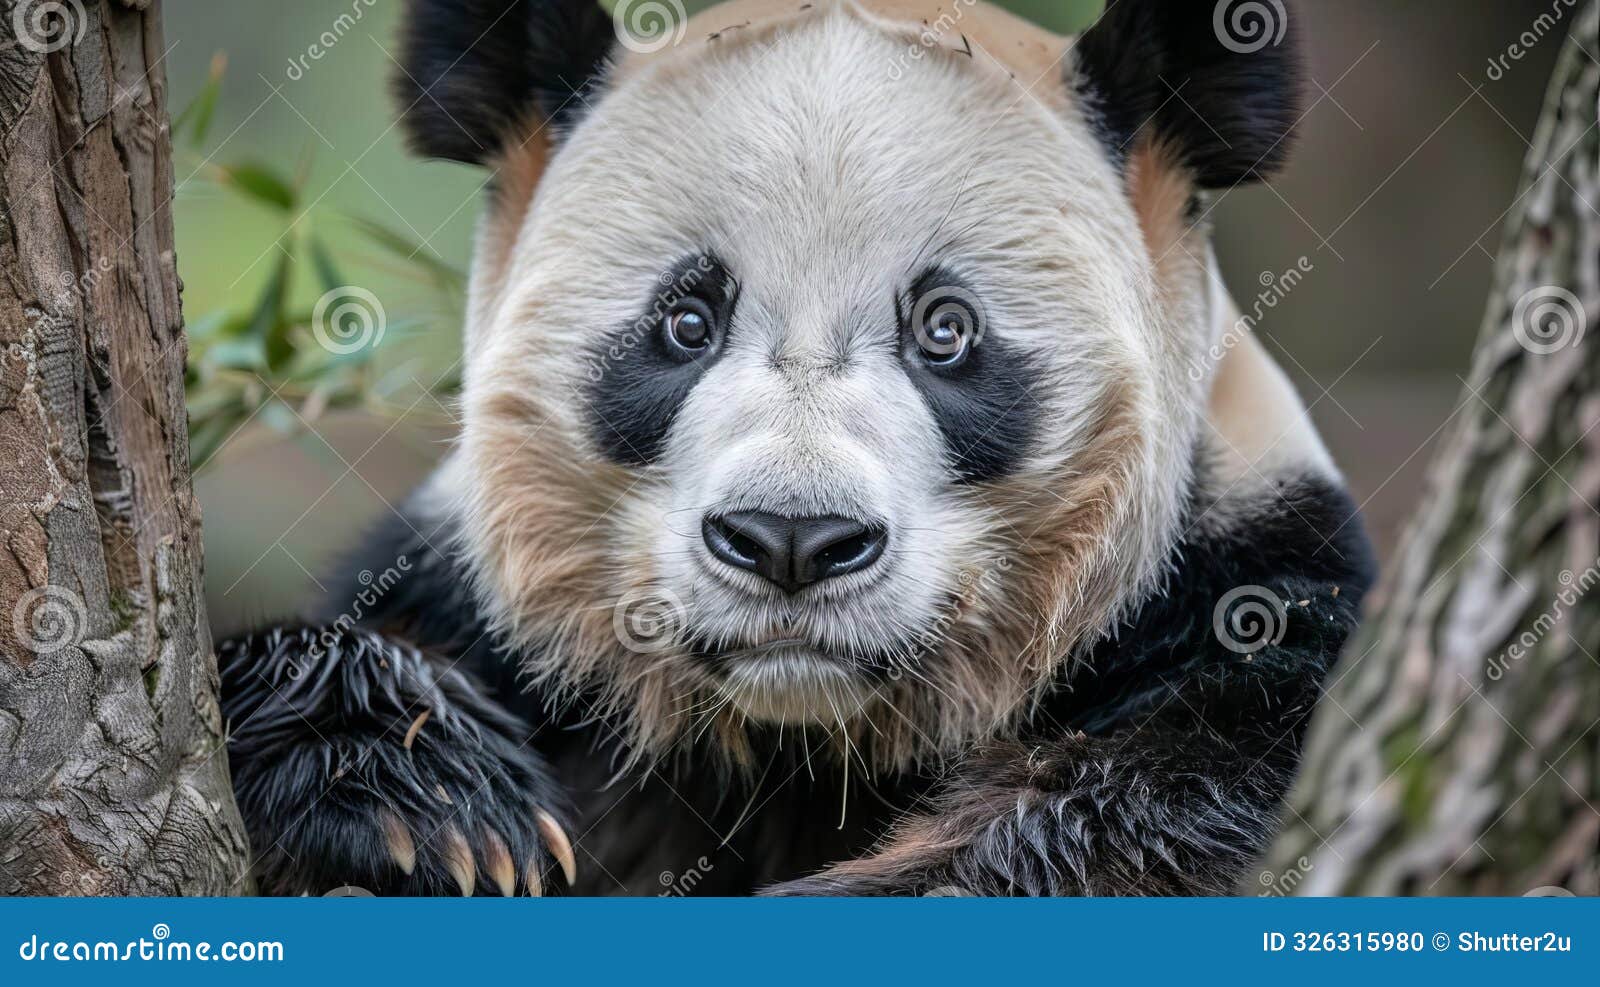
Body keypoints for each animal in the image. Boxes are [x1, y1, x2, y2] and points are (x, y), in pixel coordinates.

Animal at [219, 0, 1375, 896]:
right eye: (685, 321)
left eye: (945, 330)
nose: (789, 540)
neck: (803, 740)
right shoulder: (485, 613)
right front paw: (430, 803)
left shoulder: (1253, 610)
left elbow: (1151, 814)